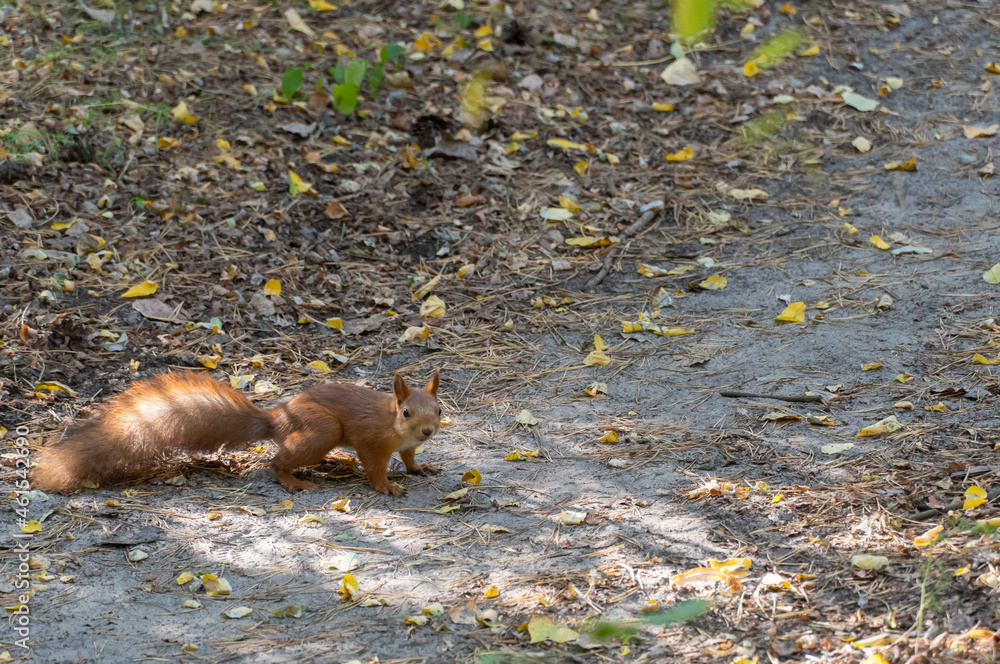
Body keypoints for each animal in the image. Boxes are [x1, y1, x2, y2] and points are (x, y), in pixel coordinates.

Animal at [30, 369, 442, 496]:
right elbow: (374, 467)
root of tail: (278, 420)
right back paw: (294, 481)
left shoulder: (407, 445)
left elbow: (409, 458)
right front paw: (388, 487)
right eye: (406, 411)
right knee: (277, 462)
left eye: (440, 409)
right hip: (322, 429)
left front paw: (420, 468)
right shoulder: (373, 441)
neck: (394, 424)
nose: (426, 431)